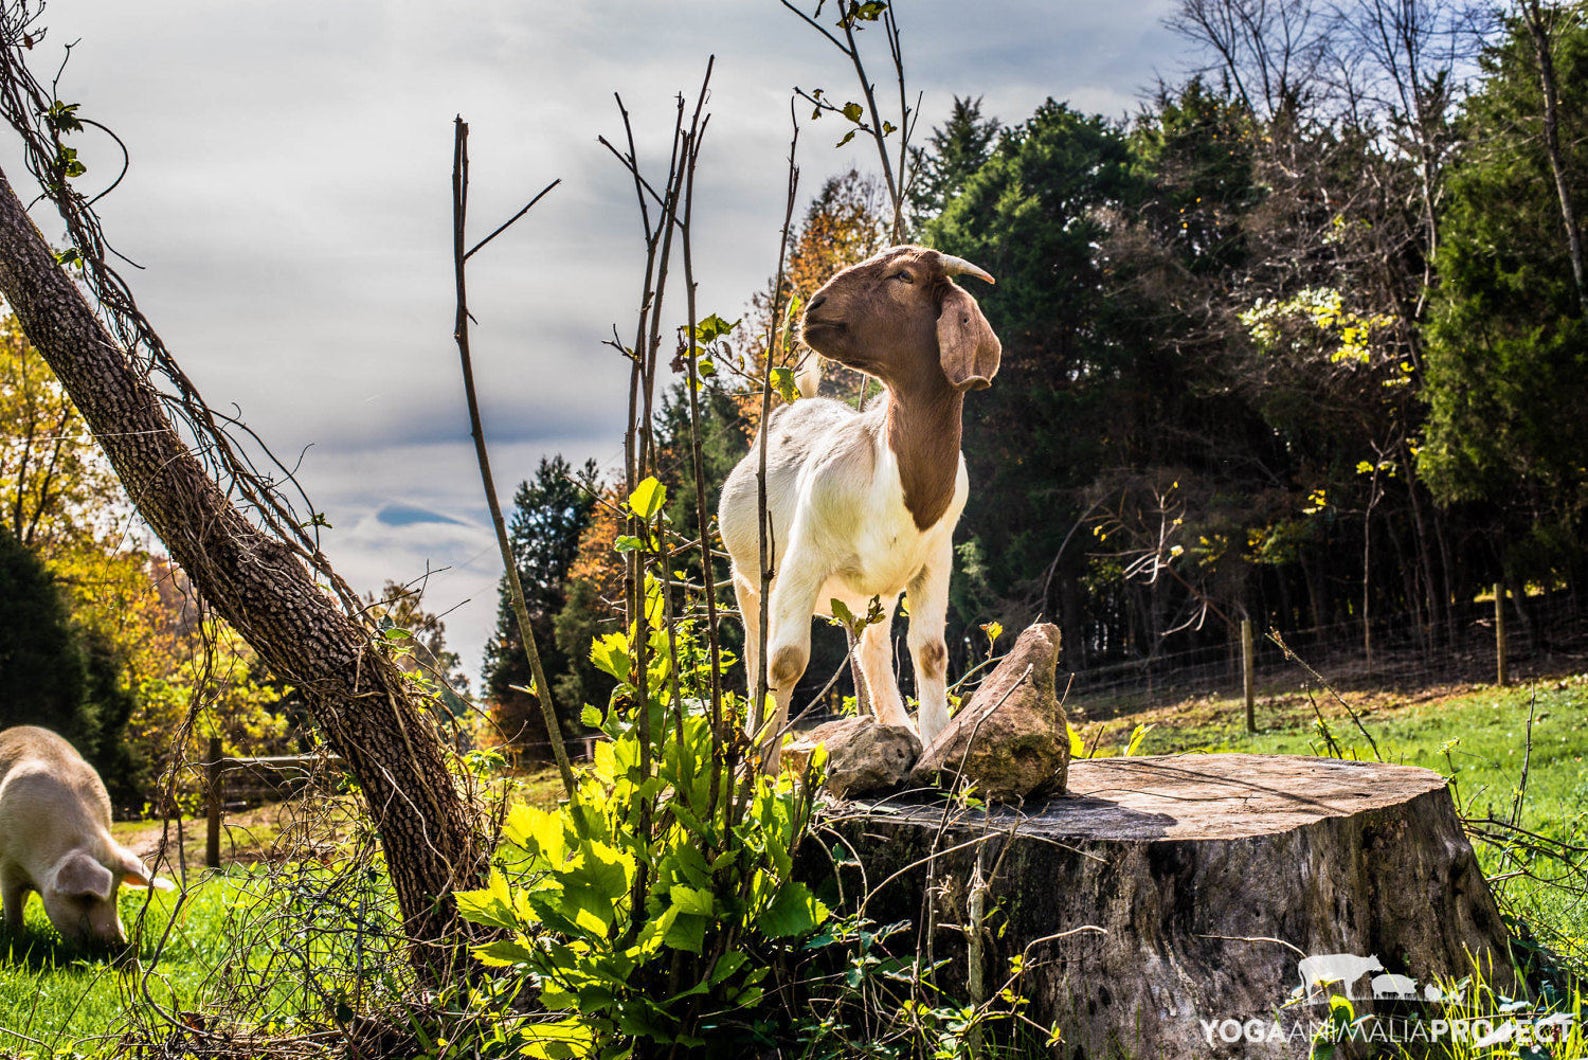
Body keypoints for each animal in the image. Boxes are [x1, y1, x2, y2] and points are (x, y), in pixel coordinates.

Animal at [718, 245, 1001, 766]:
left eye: (904, 276)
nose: (814, 307)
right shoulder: (803, 558)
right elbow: (785, 663)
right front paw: (762, 770)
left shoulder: (935, 561)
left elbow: (930, 651)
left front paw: (937, 744)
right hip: (748, 579)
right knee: (754, 656)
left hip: (876, 592)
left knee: (871, 649)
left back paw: (897, 728)